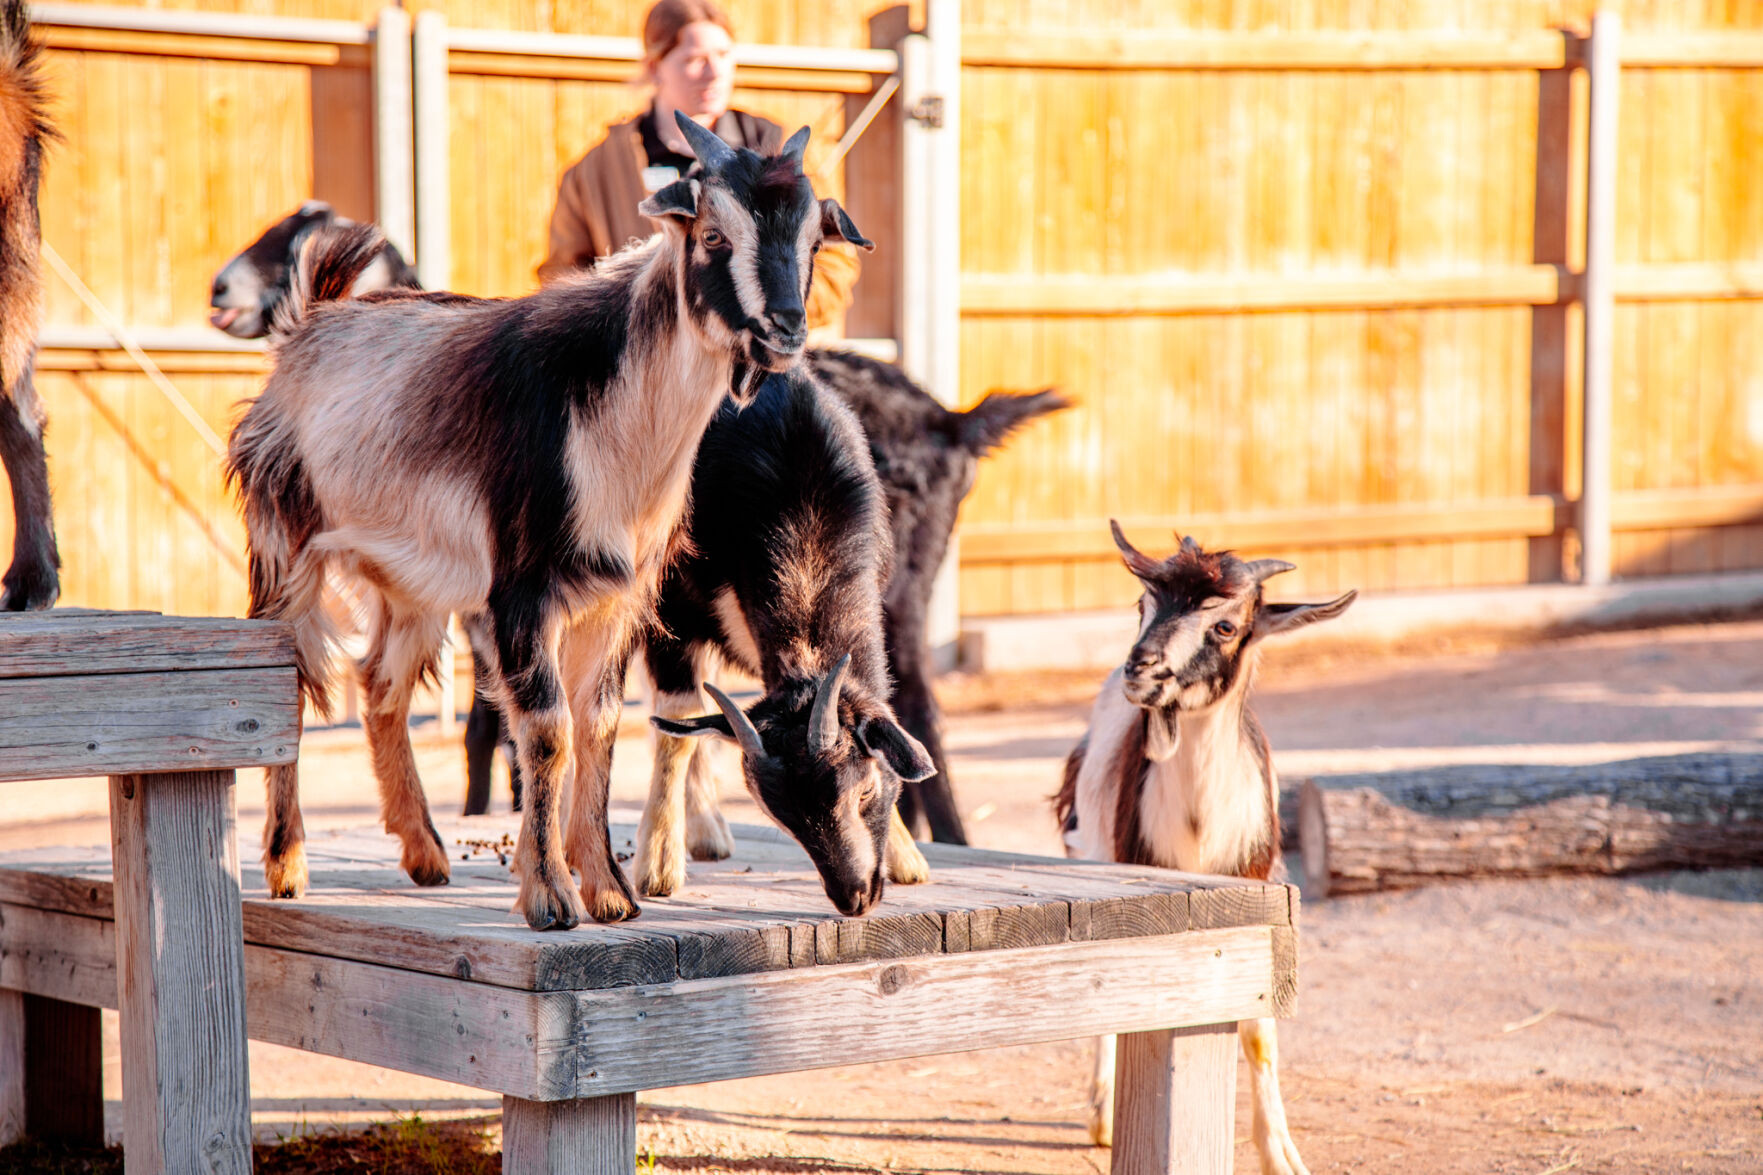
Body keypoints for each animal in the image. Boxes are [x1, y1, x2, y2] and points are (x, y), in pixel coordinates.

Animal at [227, 114, 872, 931]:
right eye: (712, 237)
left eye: (814, 243)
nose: (785, 328)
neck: (615, 415)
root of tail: (309, 324)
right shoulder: (521, 591)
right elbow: (545, 729)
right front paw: (550, 897)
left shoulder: (615, 597)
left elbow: (599, 726)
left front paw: (609, 891)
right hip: (287, 546)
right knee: (291, 680)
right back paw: (287, 866)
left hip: (414, 579)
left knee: (380, 683)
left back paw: (425, 852)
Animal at [1055, 522, 1355, 1175]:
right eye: (1143, 606)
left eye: (1224, 626)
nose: (1139, 669)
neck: (1199, 826)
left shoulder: (1260, 894)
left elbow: (1259, 1032)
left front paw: (1280, 1155)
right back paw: (1100, 1113)